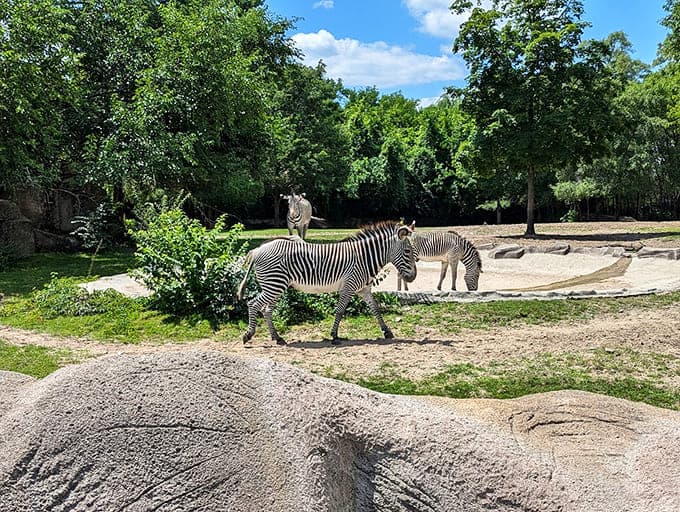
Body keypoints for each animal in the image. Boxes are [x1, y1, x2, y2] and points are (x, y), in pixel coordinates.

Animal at [237, 221, 417, 345]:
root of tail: (257, 250)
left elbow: (376, 309)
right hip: (274, 285)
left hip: (275, 286)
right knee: (253, 304)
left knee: (266, 310)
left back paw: (277, 337)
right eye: (408, 251)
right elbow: (339, 311)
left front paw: (387, 332)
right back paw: (249, 335)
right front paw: (334, 336)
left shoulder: (363, 289)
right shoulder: (349, 287)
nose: (413, 277)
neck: (365, 257)